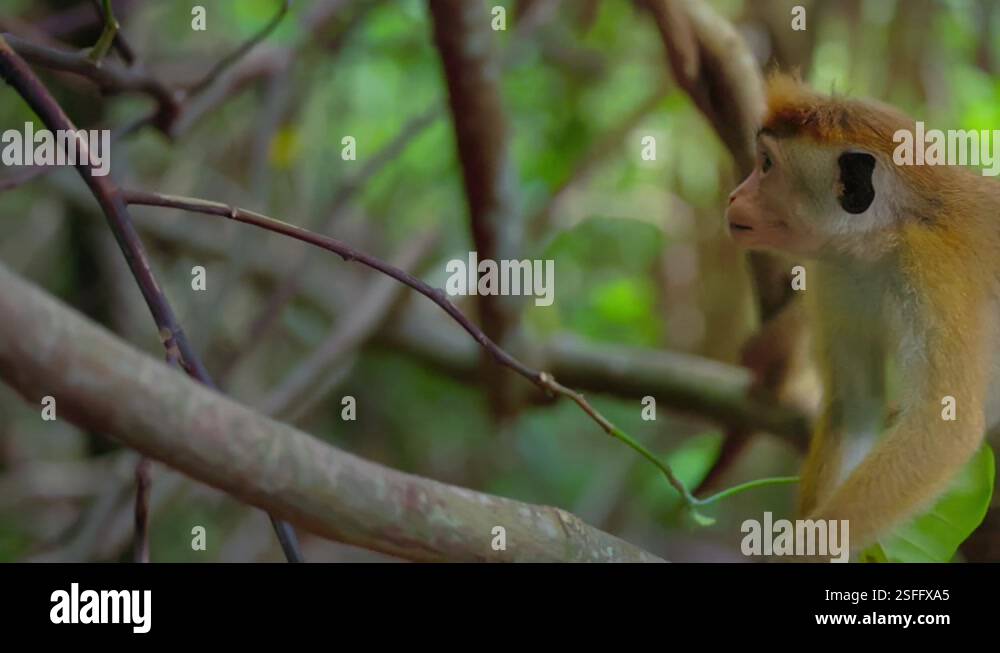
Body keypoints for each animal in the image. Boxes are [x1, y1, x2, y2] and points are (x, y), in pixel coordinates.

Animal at [725, 74, 1000, 556]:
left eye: (766, 165)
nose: (734, 194)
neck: (887, 236)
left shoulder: (938, 270)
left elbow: (945, 426)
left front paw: (805, 553)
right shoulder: (837, 273)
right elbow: (854, 407)